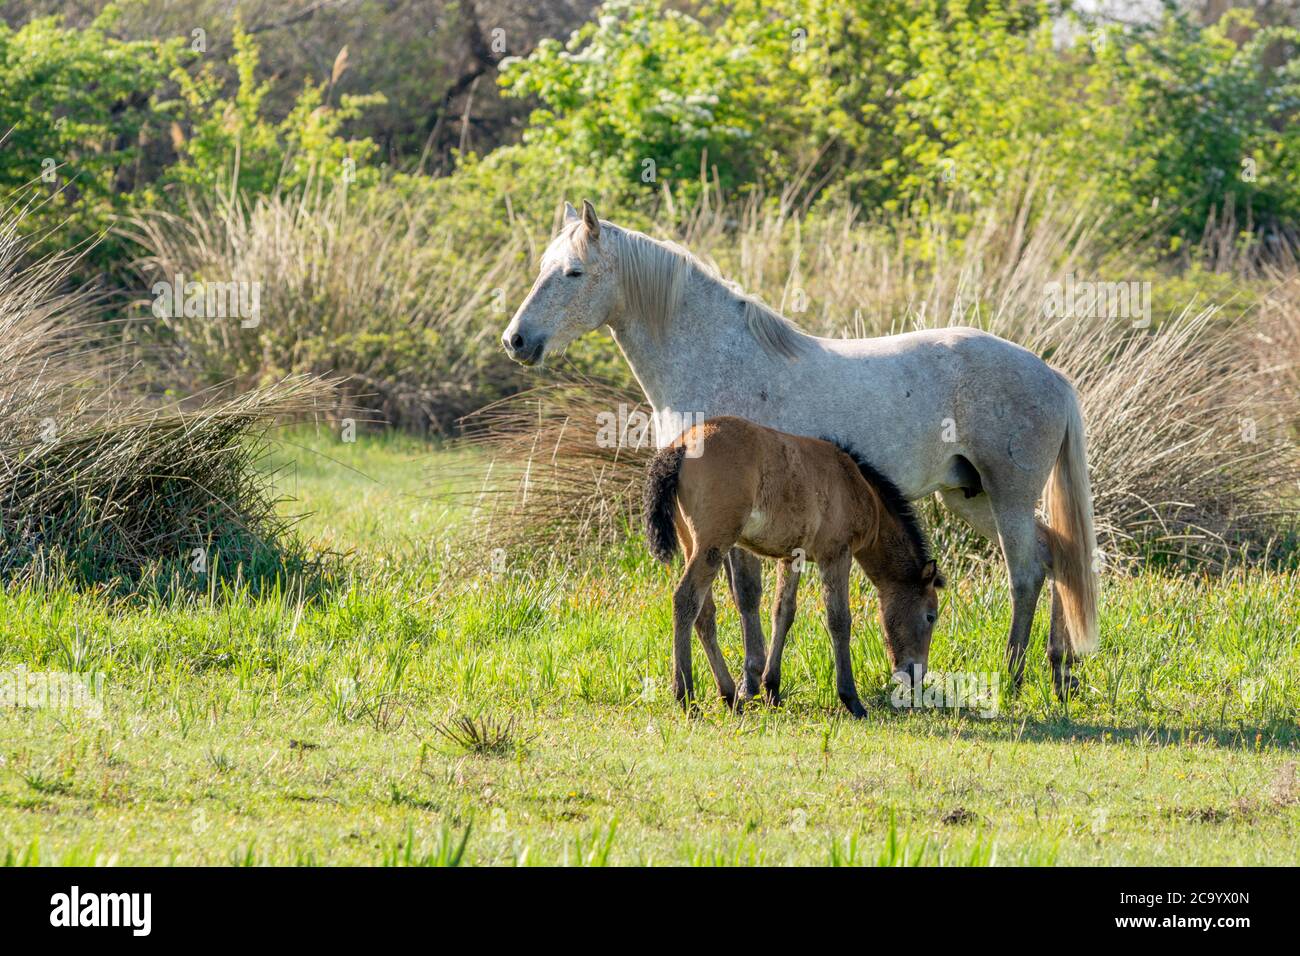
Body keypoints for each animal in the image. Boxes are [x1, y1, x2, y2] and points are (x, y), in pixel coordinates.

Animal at [643, 416, 944, 716]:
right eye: (930, 616)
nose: (915, 675)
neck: (856, 485)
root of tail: (680, 446)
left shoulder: (791, 557)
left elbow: (783, 612)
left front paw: (772, 689)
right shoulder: (836, 554)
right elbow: (839, 620)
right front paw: (852, 699)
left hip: (691, 544)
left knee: (704, 613)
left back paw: (729, 695)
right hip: (713, 543)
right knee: (685, 599)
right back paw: (686, 696)